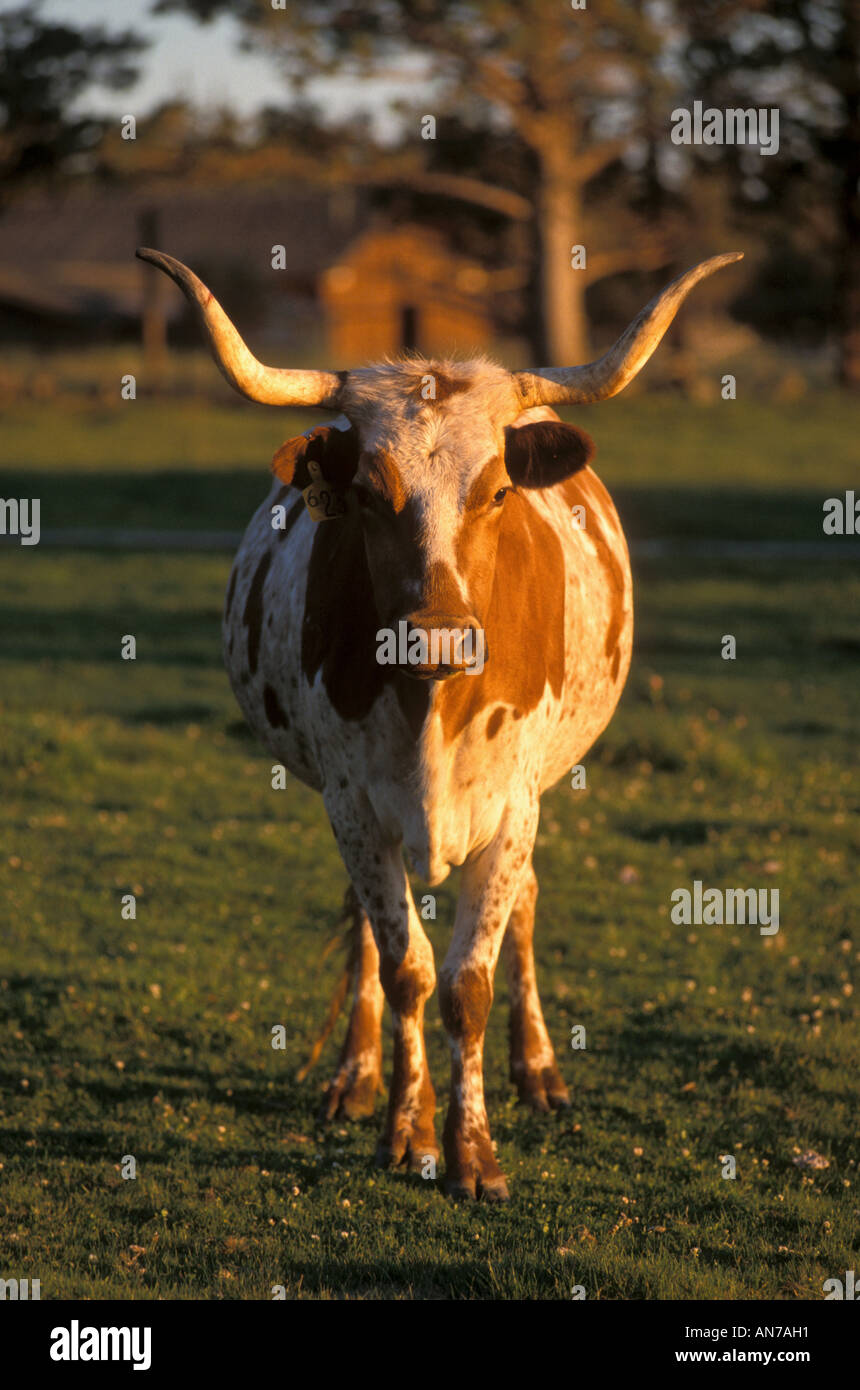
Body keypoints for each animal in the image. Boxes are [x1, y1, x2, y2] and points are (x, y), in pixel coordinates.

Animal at [137, 246, 742, 1200]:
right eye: (368, 493)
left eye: (495, 492)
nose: (438, 636)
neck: (430, 705)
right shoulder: (352, 805)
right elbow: (409, 970)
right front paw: (407, 1132)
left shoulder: (515, 805)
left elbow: (470, 985)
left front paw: (474, 1155)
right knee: (369, 932)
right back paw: (355, 1079)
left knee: (525, 906)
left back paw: (539, 1072)